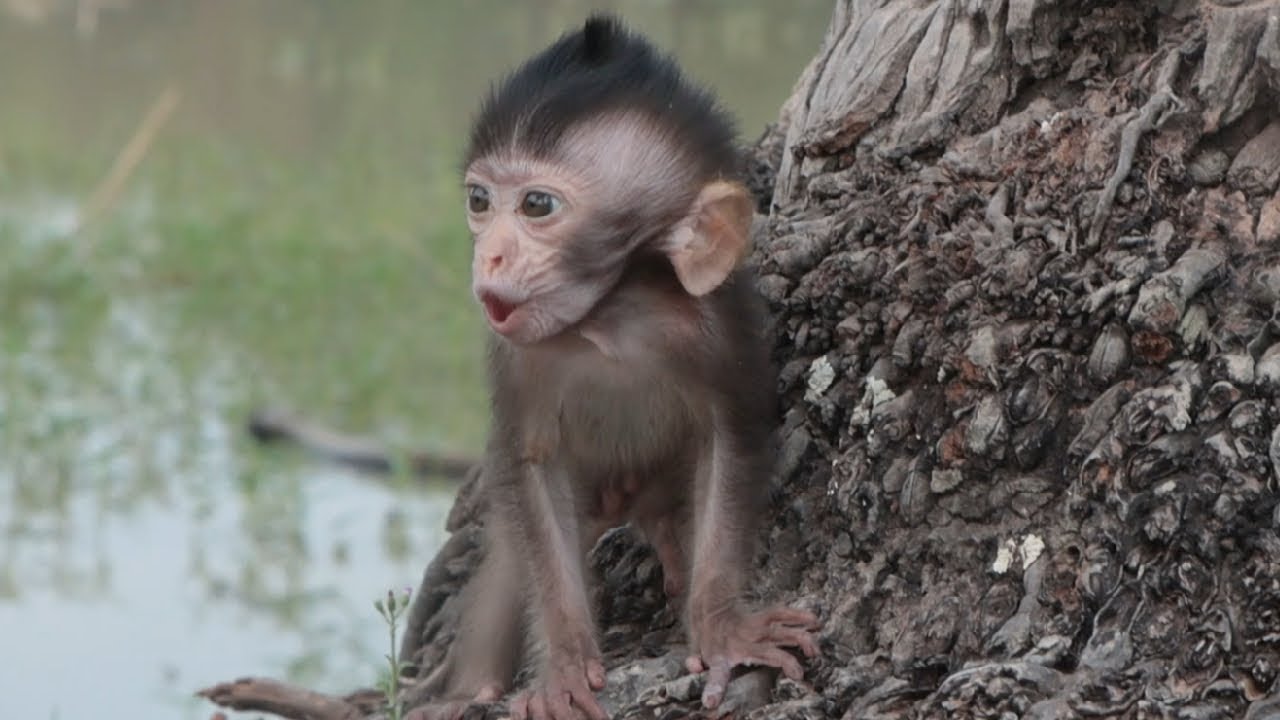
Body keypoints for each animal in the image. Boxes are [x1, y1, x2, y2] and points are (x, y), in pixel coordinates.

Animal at [410, 15, 819, 720]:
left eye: (537, 207)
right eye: (480, 200)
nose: (488, 256)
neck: (611, 322)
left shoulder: (716, 331)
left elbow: (729, 442)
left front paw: (720, 628)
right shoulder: (520, 358)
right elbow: (533, 468)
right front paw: (565, 668)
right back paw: (472, 689)